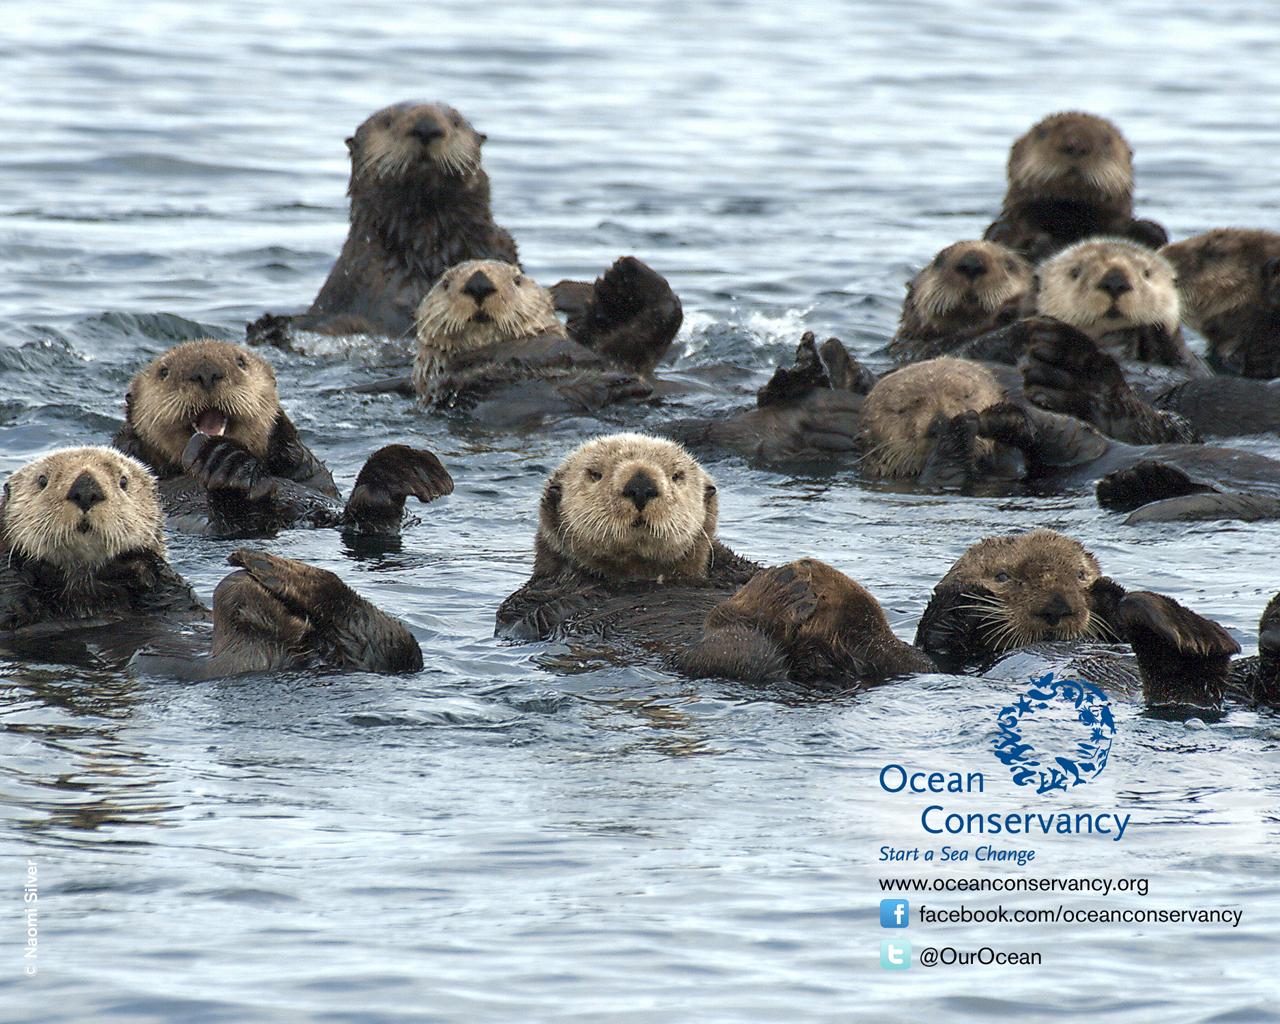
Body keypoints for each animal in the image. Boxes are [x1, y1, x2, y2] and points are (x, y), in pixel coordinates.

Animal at [0, 448, 419, 675]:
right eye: (42, 480)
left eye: (122, 481)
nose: (85, 487)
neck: (89, 593)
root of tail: (311, 656)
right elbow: (14, 600)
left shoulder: (169, 597)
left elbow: (171, 592)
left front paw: (140, 564)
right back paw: (265, 579)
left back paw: (266, 566)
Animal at [495, 434, 925, 685]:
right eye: (595, 474)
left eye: (677, 475)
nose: (641, 484)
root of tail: (820, 657)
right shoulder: (531, 600)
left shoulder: (731, 566)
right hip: (698, 658)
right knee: (741, 651)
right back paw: (779, 592)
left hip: (887, 654)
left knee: (900, 655)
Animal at [983, 111, 1168, 262]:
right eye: (1042, 133)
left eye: (1107, 139)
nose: (1076, 145)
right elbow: (1001, 233)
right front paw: (1037, 242)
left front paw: (1146, 231)